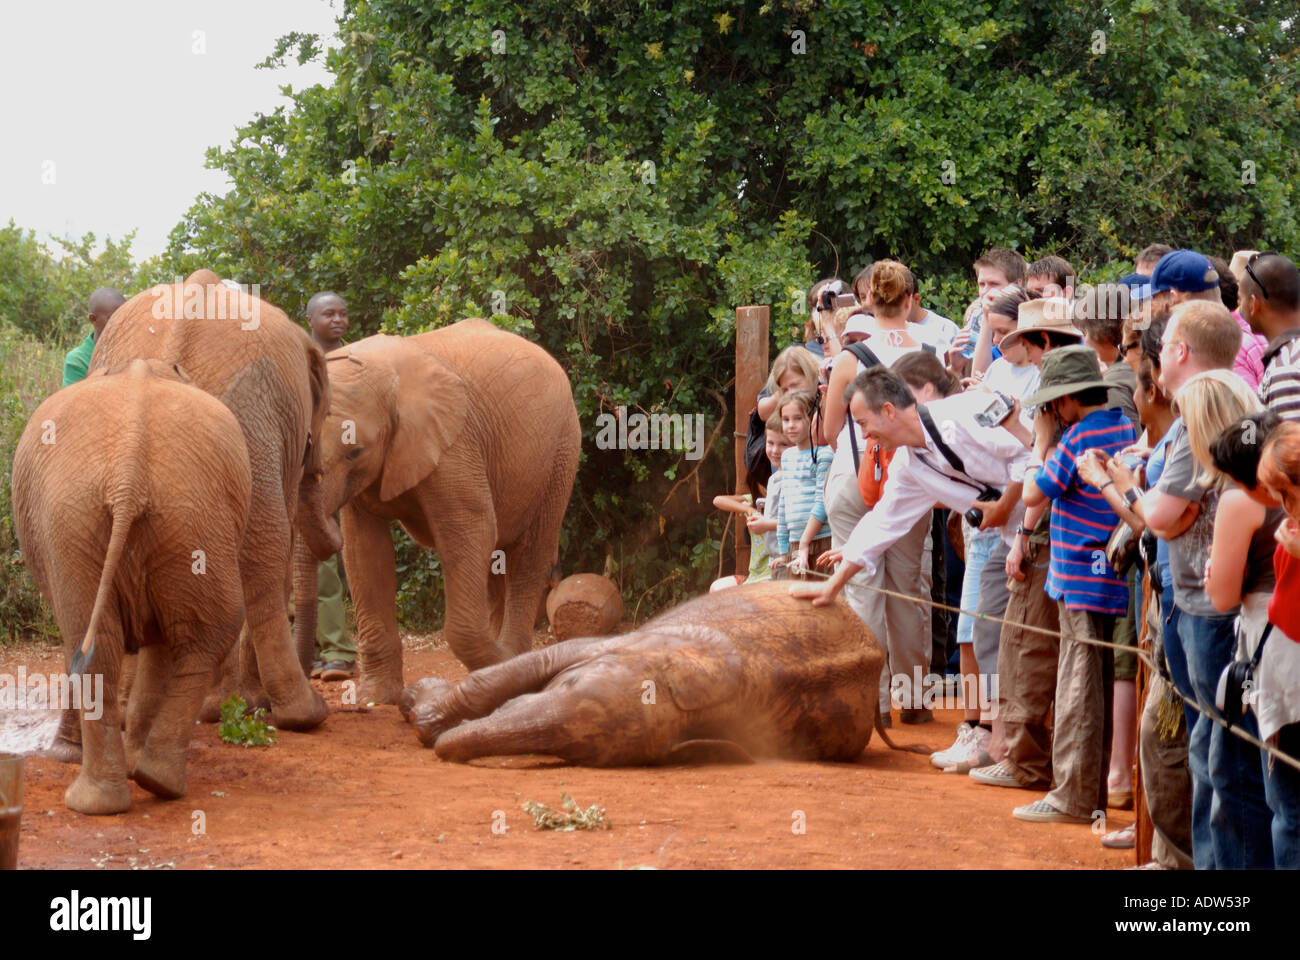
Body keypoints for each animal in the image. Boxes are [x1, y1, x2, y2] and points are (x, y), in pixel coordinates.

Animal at [11, 359, 252, 814]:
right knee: (196, 635)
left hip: (112, 520)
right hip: (169, 518)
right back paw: (143, 786)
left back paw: (111, 794)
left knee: (106, 643)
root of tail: (129, 473)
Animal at [293, 320, 581, 704]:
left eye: (355, 452)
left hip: (561, 450)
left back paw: (510, 663)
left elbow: (472, 531)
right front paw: (374, 698)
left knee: (528, 554)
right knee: (498, 561)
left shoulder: (454, 445)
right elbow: (365, 551)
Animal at [399, 581, 925, 765]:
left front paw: (426, 723)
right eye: (571, 685)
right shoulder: (630, 641)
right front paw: (421, 714)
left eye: (578, 754)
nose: (443, 749)